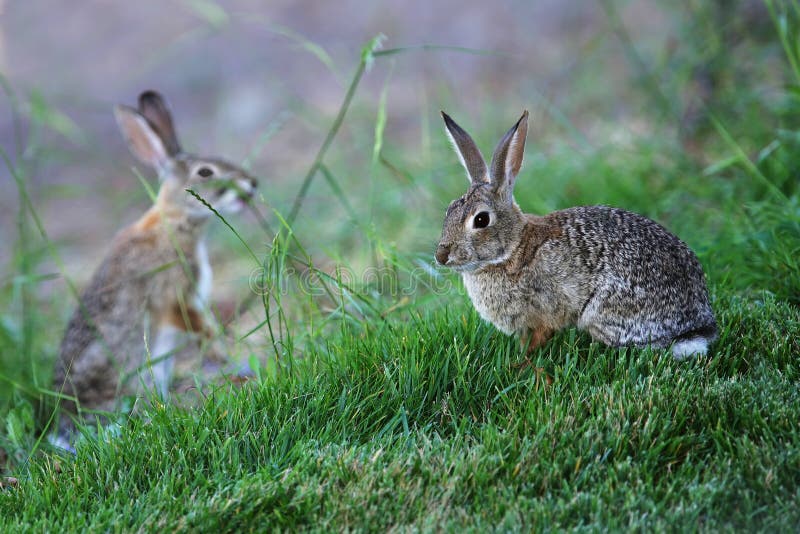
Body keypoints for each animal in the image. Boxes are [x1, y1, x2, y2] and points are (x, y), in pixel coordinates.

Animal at [52, 90, 257, 442]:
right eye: (205, 172)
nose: (252, 183)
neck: (176, 222)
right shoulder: (177, 296)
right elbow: (202, 328)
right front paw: (227, 360)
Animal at [435, 110, 717, 361]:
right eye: (449, 210)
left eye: (481, 220)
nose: (441, 255)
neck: (511, 249)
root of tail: (695, 327)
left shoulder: (544, 311)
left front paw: (521, 363)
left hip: (605, 310)